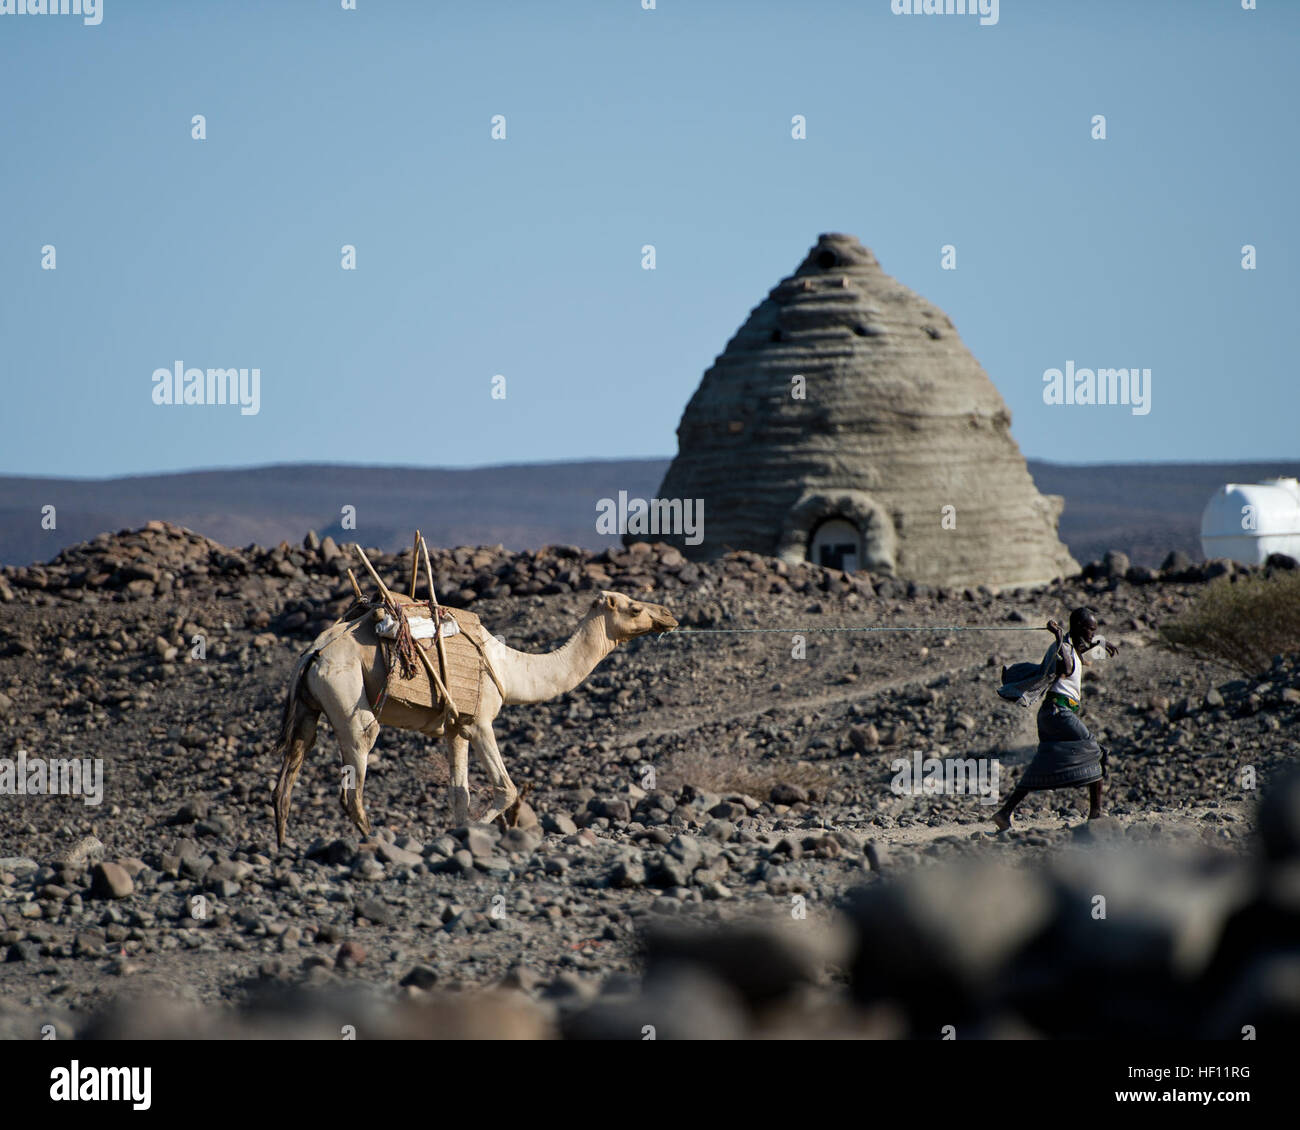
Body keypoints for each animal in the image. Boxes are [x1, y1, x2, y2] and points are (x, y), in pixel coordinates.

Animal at [271, 591, 677, 846]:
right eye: (634, 608)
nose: (669, 615)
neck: (510, 669)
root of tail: (314, 652)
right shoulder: (480, 722)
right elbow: (506, 788)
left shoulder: (456, 727)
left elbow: (459, 793)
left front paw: (459, 832)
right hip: (349, 701)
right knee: (353, 782)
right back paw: (371, 842)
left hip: (307, 706)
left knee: (288, 773)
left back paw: (281, 848)